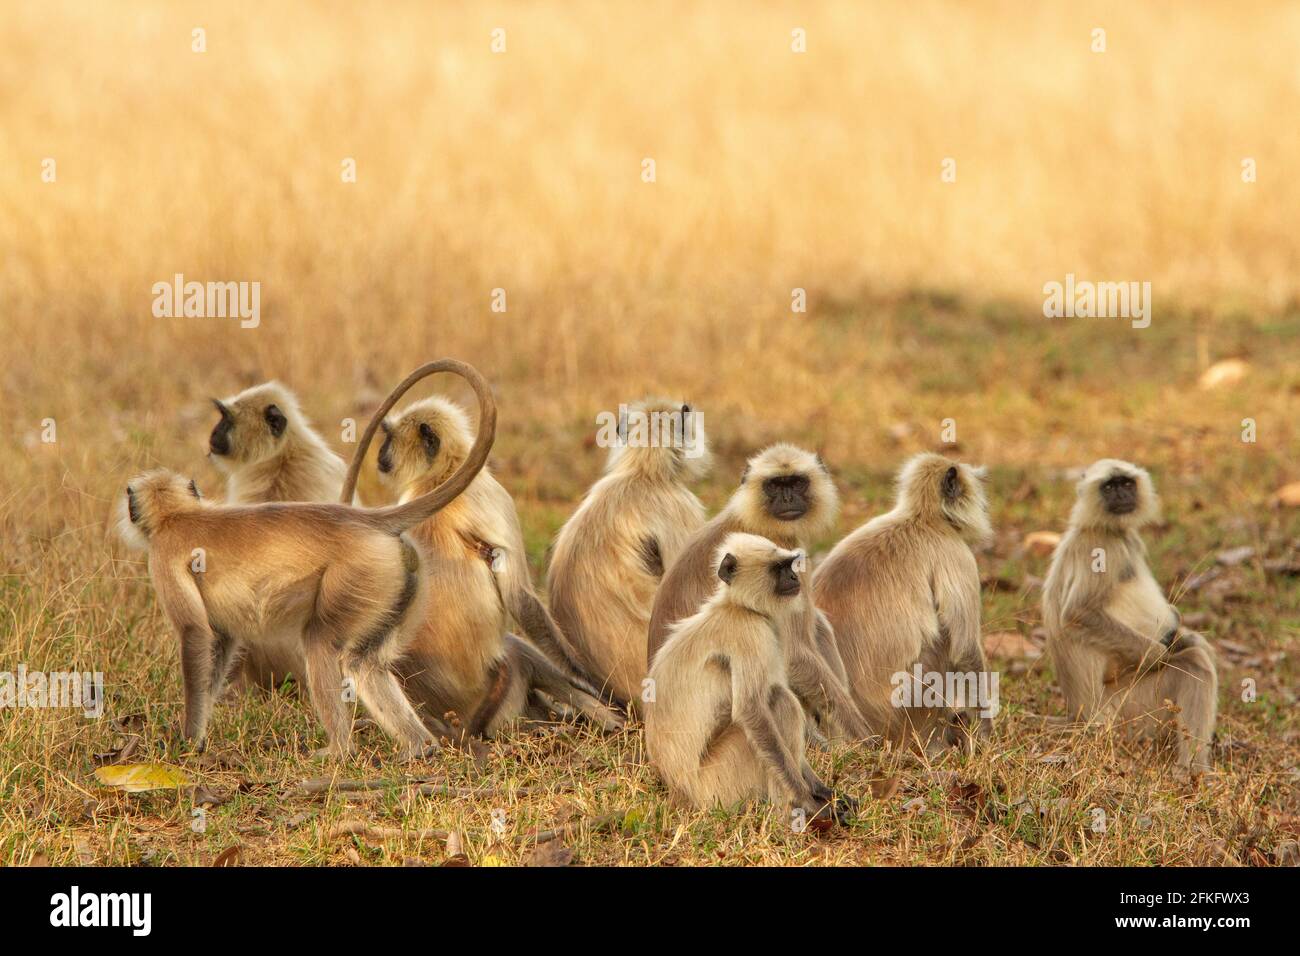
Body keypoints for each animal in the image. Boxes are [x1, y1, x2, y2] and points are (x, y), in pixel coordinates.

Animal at [354, 394, 623, 737]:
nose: (380, 456)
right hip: (503, 688)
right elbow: (521, 599)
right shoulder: (496, 496)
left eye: (388, 438)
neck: (442, 475)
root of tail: (461, 721)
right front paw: (595, 686)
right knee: (519, 648)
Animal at [645, 532, 855, 824]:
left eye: (790, 566)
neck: (739, 607)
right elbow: (752, 711)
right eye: (779, 568)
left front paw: (822, 790)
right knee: (779, 701)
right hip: (717, 783)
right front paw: (805, 799)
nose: (795, 578)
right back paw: (788, 812)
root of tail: (679, 789)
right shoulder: (750, 634)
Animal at [812, 453, 995, 755]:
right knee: (942, 644)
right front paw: (986, 736)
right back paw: (934, 746)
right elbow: (964, 651)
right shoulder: (957, 555)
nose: (984, 505)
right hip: (900, 712)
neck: (920, 517)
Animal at [1041, 459, 1217, 771]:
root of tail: (1079, 718)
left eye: (1125, 484)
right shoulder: (1100, 547)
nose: (1122, 495)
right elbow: (1077, 613)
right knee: (1195, 664)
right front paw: (1158, 653)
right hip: (1126, 712)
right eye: (1109, 487)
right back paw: (1194, 772)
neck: (1106, 529)